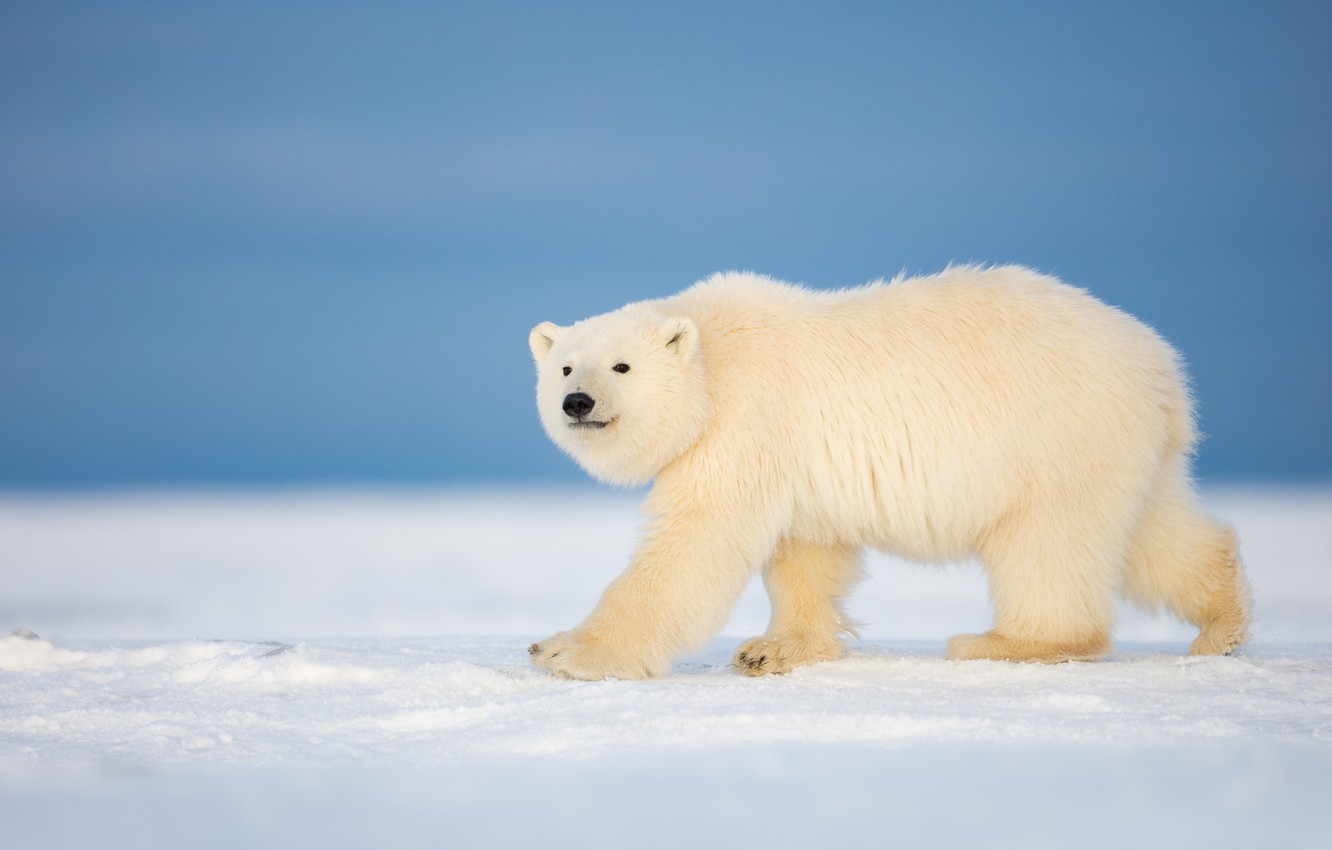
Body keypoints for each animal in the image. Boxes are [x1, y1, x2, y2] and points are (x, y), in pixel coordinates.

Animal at [526, 265, 1251, 680]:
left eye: (621, 366)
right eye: (564, 366)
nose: (577, 402)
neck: (713, 357)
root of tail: (1163, 372)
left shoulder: (745, 421)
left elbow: (693, 544)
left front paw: (566, 651)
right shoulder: (797, 461)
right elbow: (805, 553)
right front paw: (775, 649)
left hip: (1055, 435)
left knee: (1047, 542)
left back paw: (1002, 642)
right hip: (1125, 449)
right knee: (1155, 531)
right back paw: (1223, 626)